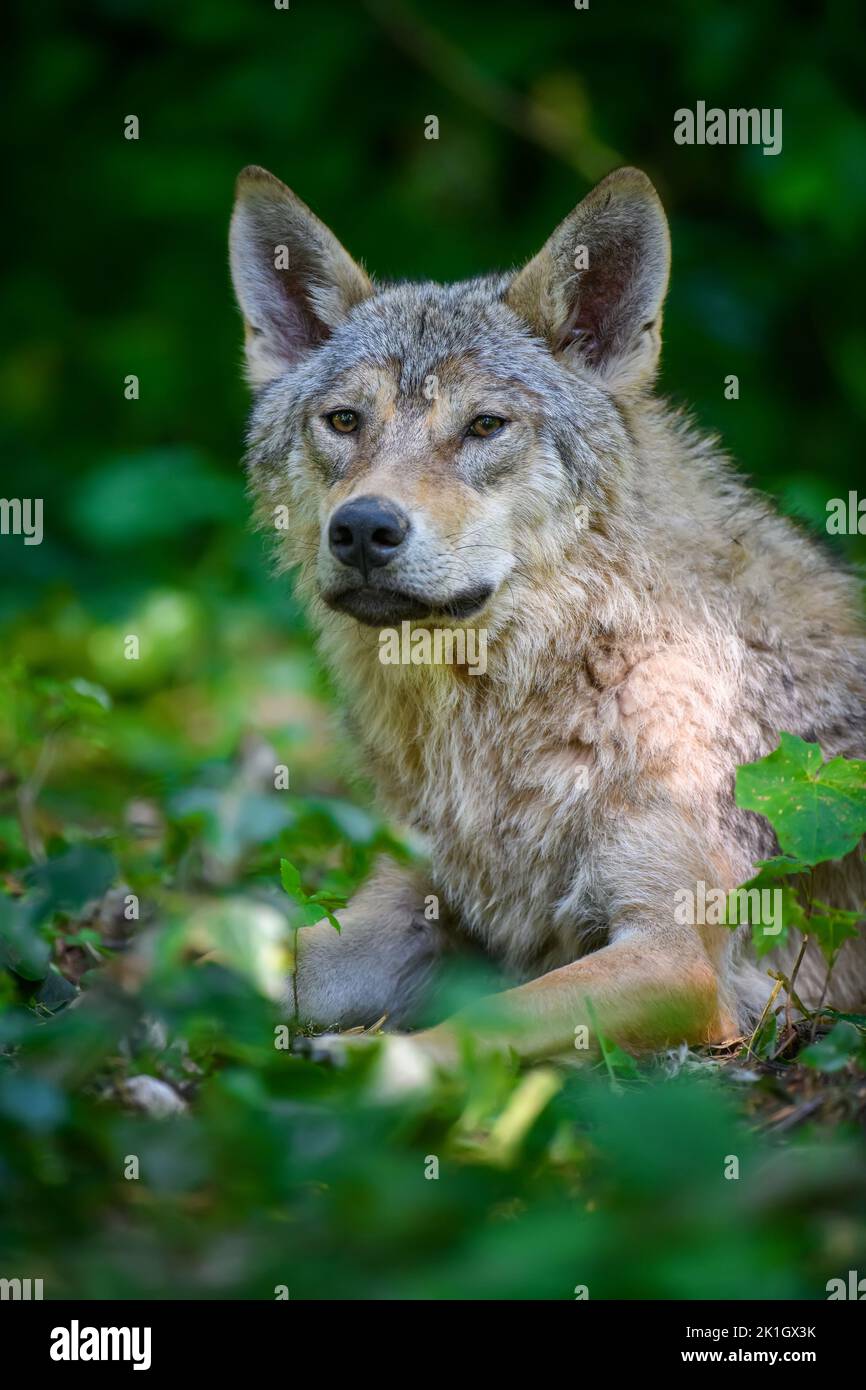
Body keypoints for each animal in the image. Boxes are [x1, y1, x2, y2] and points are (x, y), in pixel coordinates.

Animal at [229, 164, 866, 1076]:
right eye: (345, 421)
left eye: (485, 426)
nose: (362, 528)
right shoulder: (420, 898)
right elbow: (257, 956)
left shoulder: (676, 959)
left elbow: (480, 1020)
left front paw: (375, 1065)